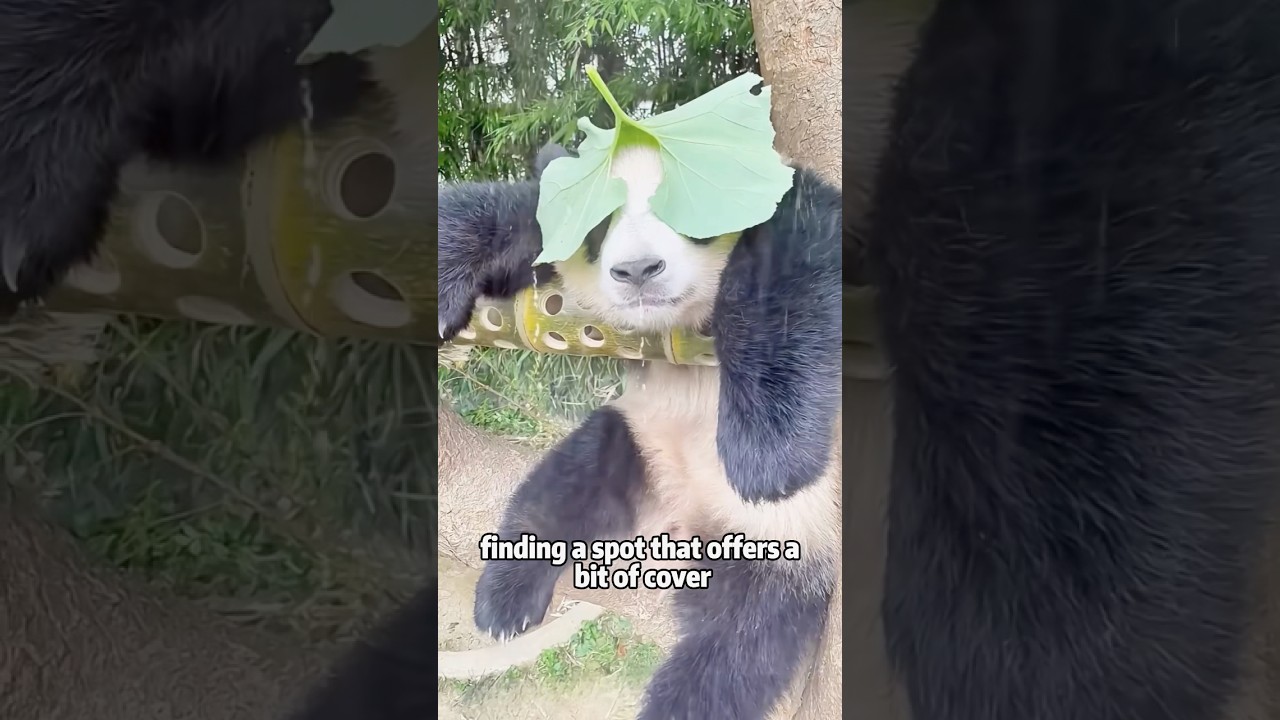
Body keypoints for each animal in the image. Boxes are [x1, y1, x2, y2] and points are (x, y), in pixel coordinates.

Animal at [436, 134, 843, 720]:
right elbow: (520, 219)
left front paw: (768, 459)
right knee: (569, 480)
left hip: (785, 544)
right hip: (637, 436)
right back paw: (505, 598)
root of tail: (681, 516)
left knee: (736, 647)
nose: (637, 270)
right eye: (604, 222)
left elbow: (793, 276)